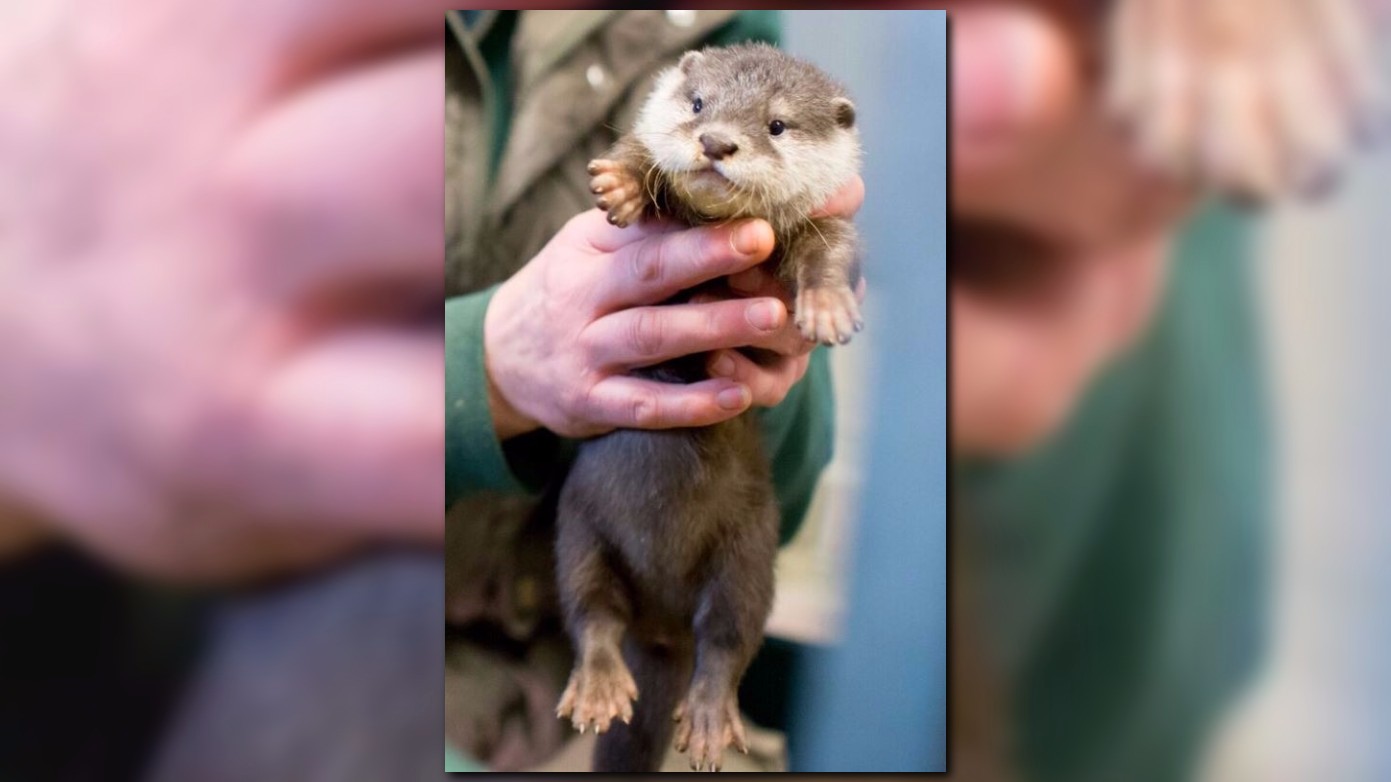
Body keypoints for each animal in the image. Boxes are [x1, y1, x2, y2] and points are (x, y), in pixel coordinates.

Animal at [553, 44, 862, 772]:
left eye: (777, 124)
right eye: (697, 104)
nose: (717, 142)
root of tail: (662, 624)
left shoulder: (825, 224)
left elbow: (830, 250)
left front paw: (827, 304)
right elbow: (636, 150)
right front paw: (622, 184)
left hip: (748, 551)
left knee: (727, 636)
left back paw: (710, 715)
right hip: (578, 528)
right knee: (590, 611)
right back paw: (601, 686)